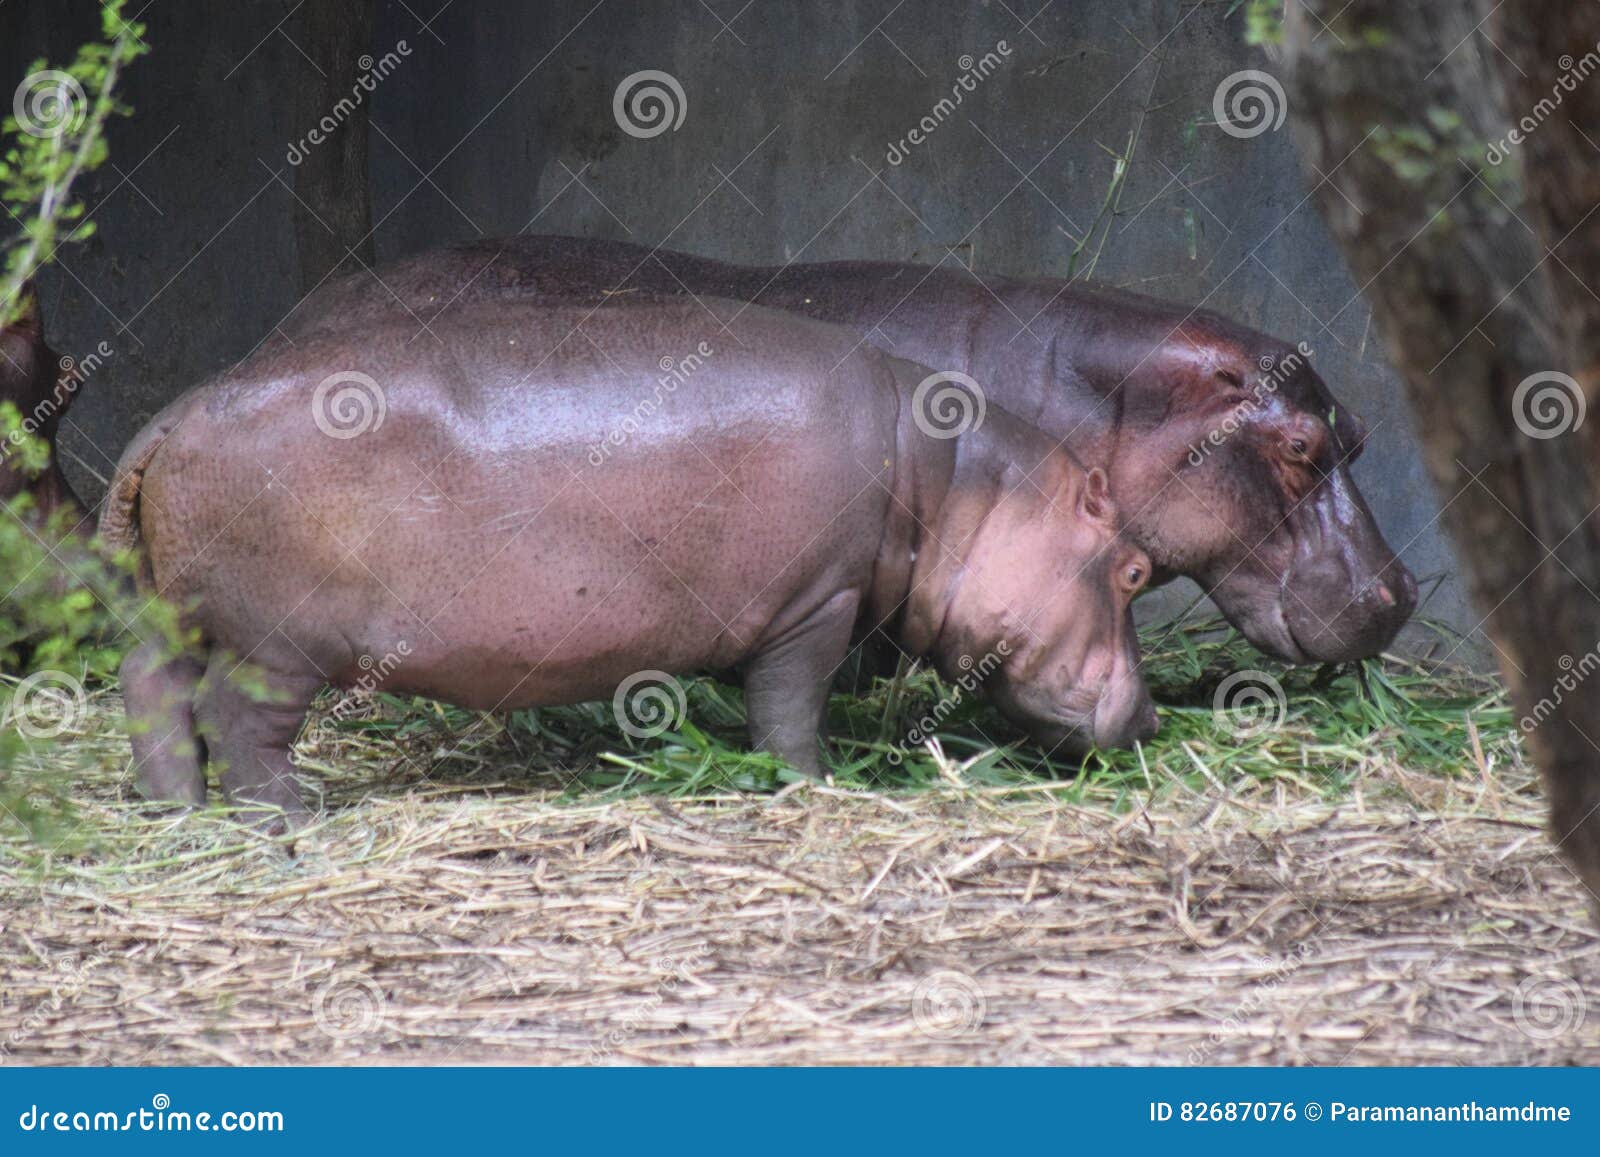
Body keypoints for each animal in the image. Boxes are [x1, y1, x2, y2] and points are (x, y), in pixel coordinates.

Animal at [102, 297, 1155, 817]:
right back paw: (292, 821)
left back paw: (176, 814)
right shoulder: (819, 599)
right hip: (277, 642)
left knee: (153, 695)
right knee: (237, 720)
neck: (956, 485)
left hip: (171, 611)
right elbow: (791, 706)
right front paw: (816, 785)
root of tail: (173, 414)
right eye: (1134, 569)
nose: (1148, 717)